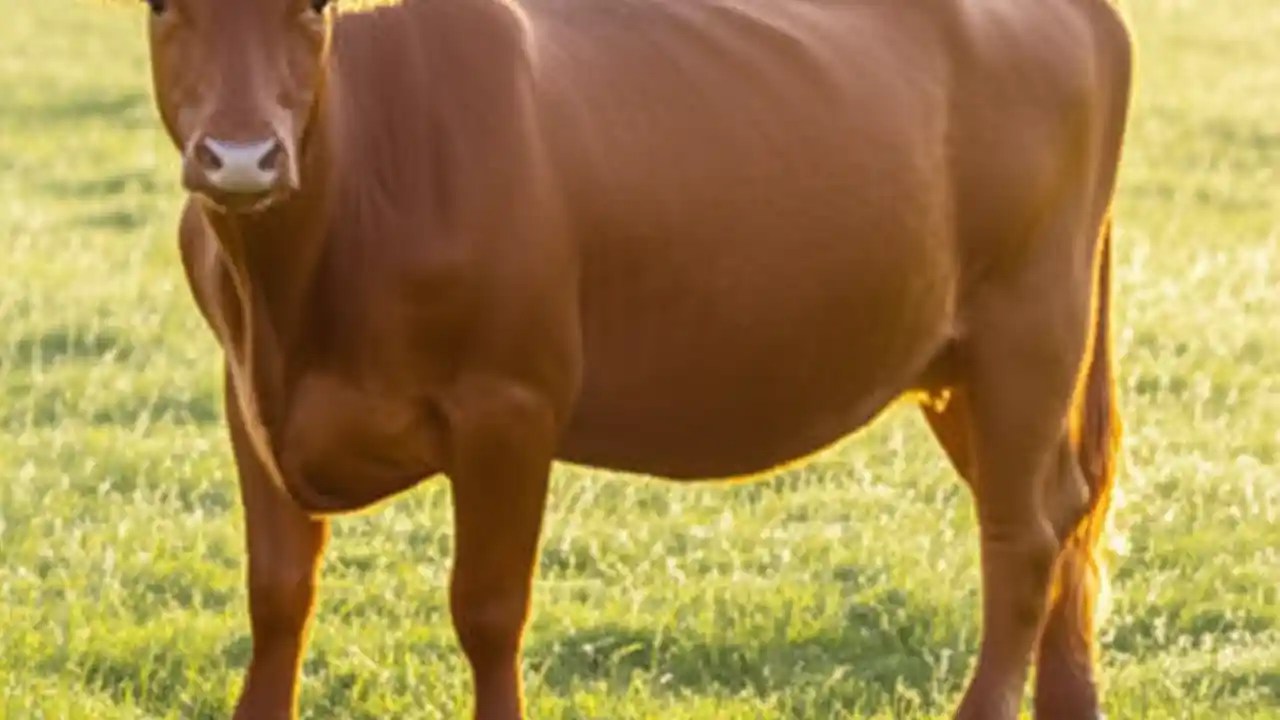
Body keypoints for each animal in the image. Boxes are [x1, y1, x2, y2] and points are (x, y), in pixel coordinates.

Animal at [133, 0, 1132, 717]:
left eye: (311, 6)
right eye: (164, 5)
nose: (241, 158)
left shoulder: (509, 406)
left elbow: (488, 610)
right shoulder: (248, 400)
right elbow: (277, 596)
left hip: (1028, 333)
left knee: (1022, 538)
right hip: (962, 367)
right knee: (1067, 509)